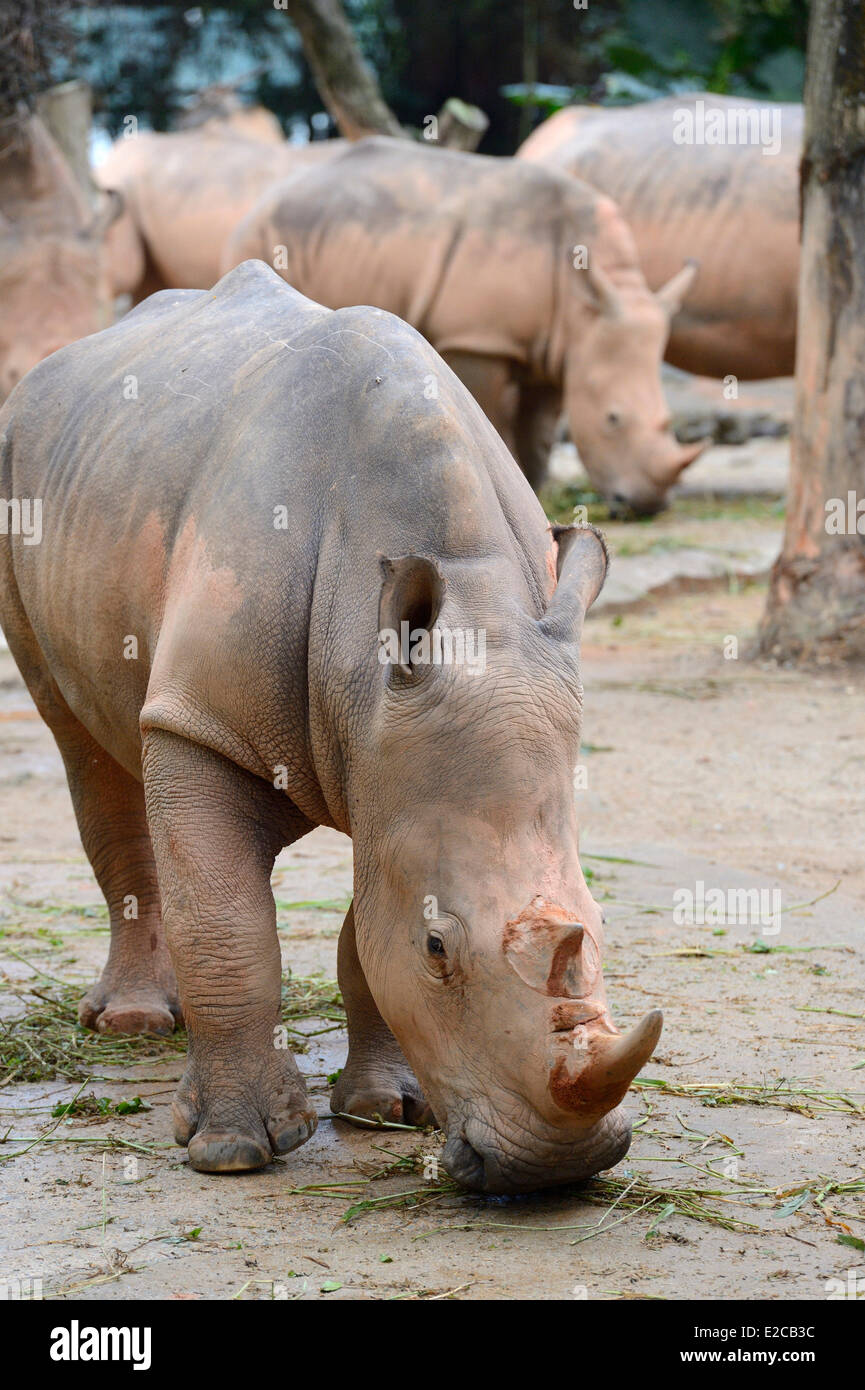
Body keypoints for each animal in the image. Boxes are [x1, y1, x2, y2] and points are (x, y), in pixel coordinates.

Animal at [0, 260, 662, 1192]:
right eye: (437, 948)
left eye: (600, 922)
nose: (554, 1170)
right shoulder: (202, 720)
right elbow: (229, 923)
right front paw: (232, 1149)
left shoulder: (391, 751)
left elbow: (365, 922)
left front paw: (388, 1109)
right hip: (22, 471)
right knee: (85, 749)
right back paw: (134, 1026)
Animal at [222, 137, 706, 514]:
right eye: (612, 419)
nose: (649, 506)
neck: (584, 303)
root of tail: (265, 196)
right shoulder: (479, 340)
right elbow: (497, 423)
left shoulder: (554, 349)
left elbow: (539, 433)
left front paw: (535, 497)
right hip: (261, 233)